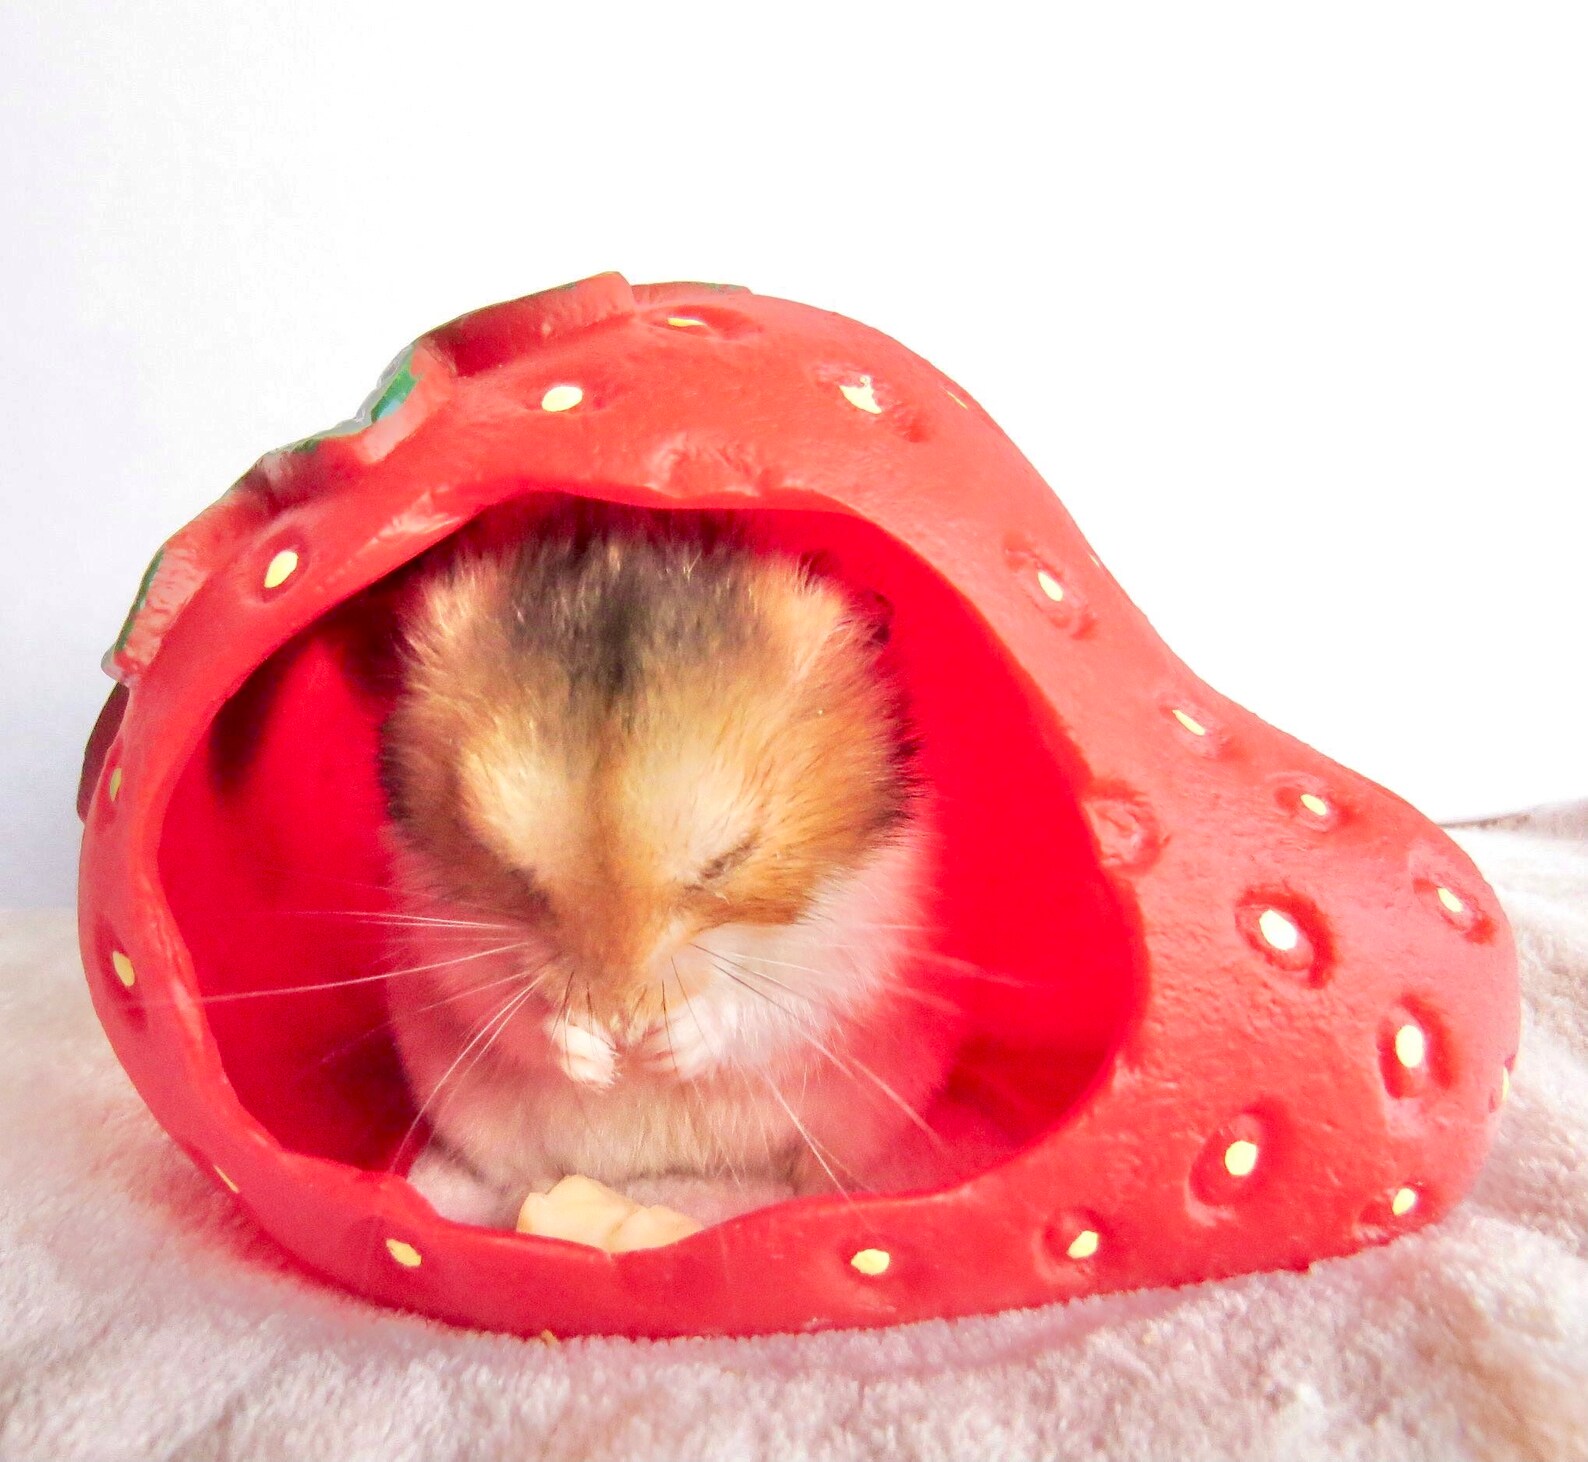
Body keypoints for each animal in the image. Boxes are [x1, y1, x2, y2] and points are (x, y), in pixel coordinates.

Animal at [377, 506, 959, 1227]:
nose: (624, 1022)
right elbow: (502, 1000)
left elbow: (774, 1001)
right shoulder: (440, 925)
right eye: (507, 866)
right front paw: (594, 1055)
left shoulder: (858, 927)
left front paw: (667, 1048)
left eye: (729, 859)